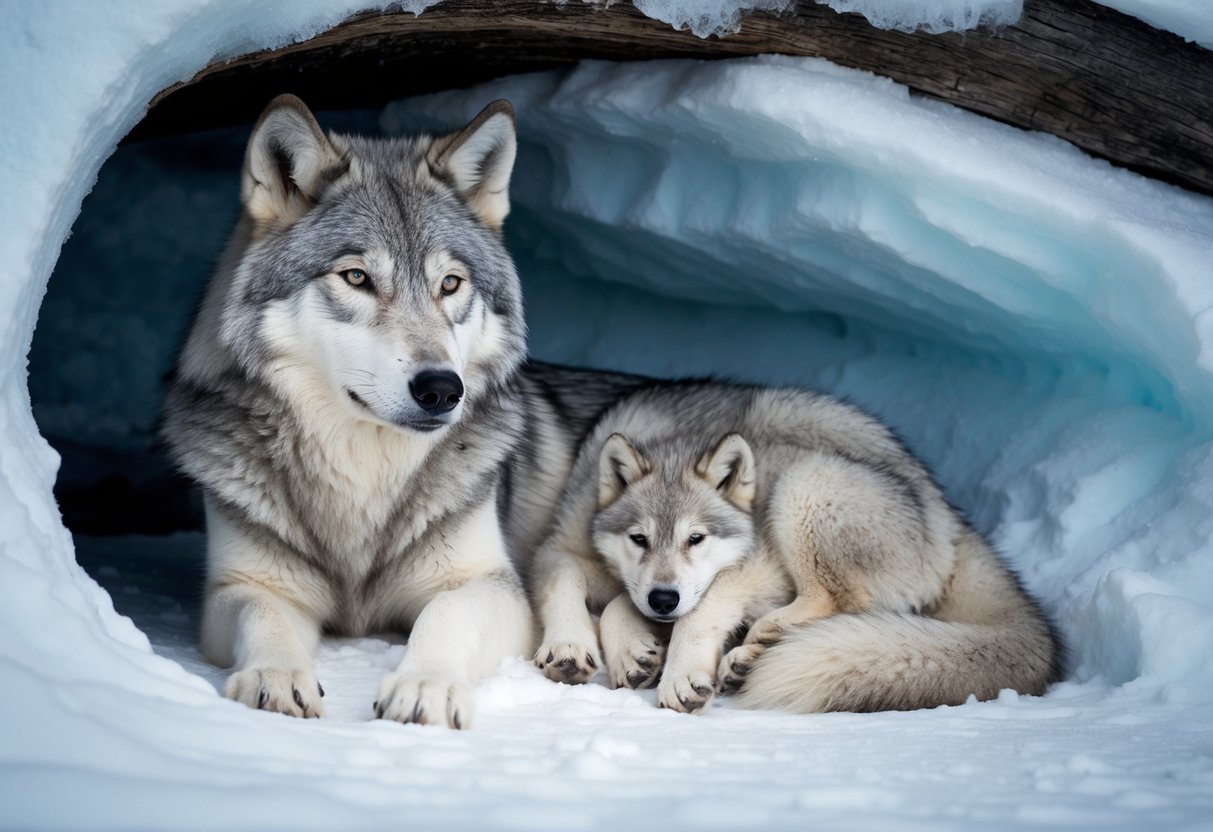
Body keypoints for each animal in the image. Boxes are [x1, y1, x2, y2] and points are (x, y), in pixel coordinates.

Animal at [164, 94, 641, 728]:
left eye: (450, 284)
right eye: (357, 277)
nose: (442, 389)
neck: (363, 478)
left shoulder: (489, 584)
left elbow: (445, 616)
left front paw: (425, 687)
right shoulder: (240, 587)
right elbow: (261, 616)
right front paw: (276, 677)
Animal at [530, 382, 1061, 714]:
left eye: (696, 538)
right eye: (638, 539)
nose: (663, 599)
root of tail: (947, 519)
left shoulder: (754, 565)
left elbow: (696, 614)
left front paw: (678, 676)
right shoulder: (567, 552)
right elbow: (577, 584)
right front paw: (596, 648)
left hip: (804, 483)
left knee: (844, 601)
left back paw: (762, 641)